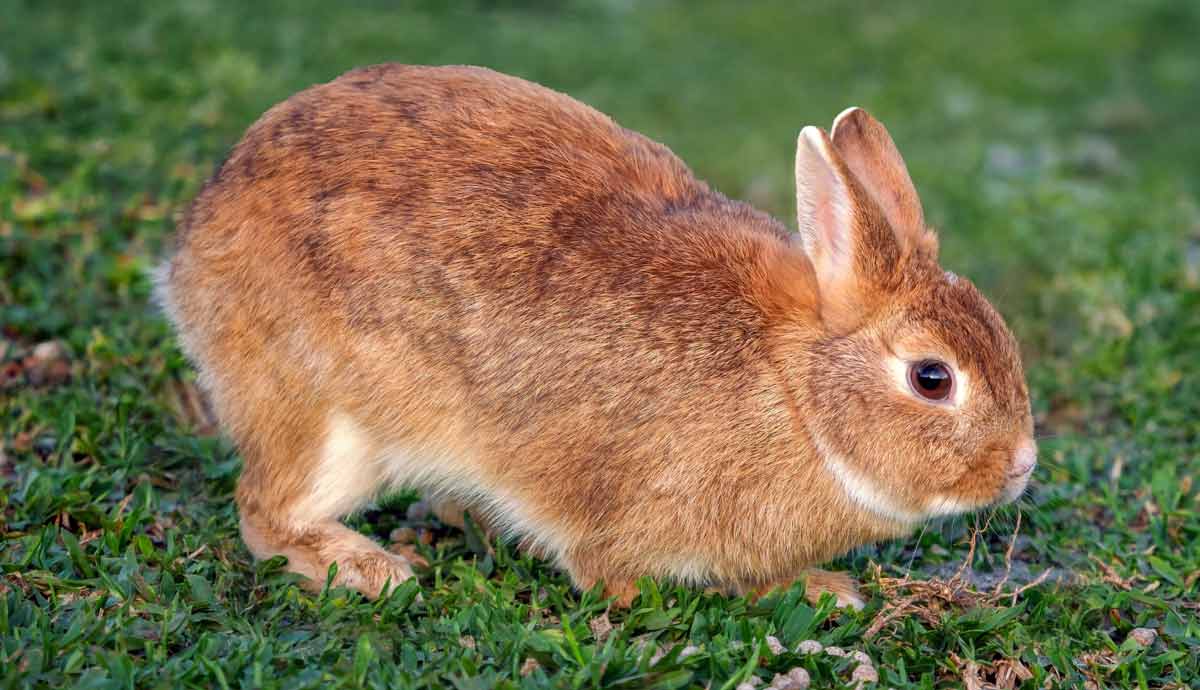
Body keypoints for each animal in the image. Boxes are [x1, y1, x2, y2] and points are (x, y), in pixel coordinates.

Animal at [156, 64, 1036, 609]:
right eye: (932, 377)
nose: (1022, 467)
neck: (796, 393)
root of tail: (196, 242)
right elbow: (612, 573)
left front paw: (822, 591)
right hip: (328, 422)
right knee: (263, 512)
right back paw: (372, 570)